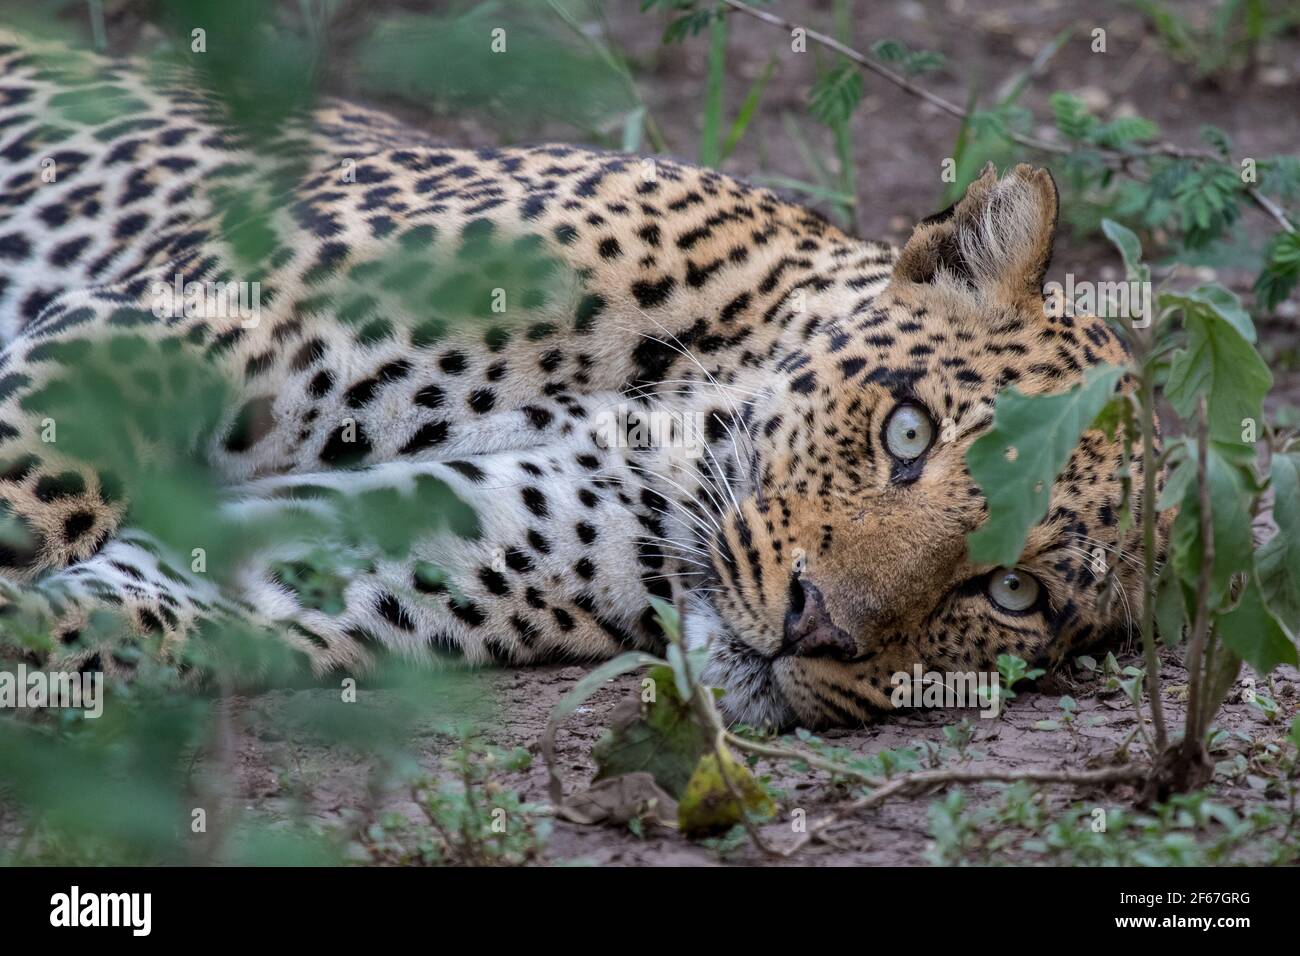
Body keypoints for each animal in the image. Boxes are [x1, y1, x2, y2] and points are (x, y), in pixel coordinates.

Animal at [0, 28, 1151, 728]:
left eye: (1012, 594)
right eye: (908, 432)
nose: (816, 627)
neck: (679, 416)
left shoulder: (410, 540)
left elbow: (127, 610)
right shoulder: (177, 324)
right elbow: (37, 490)